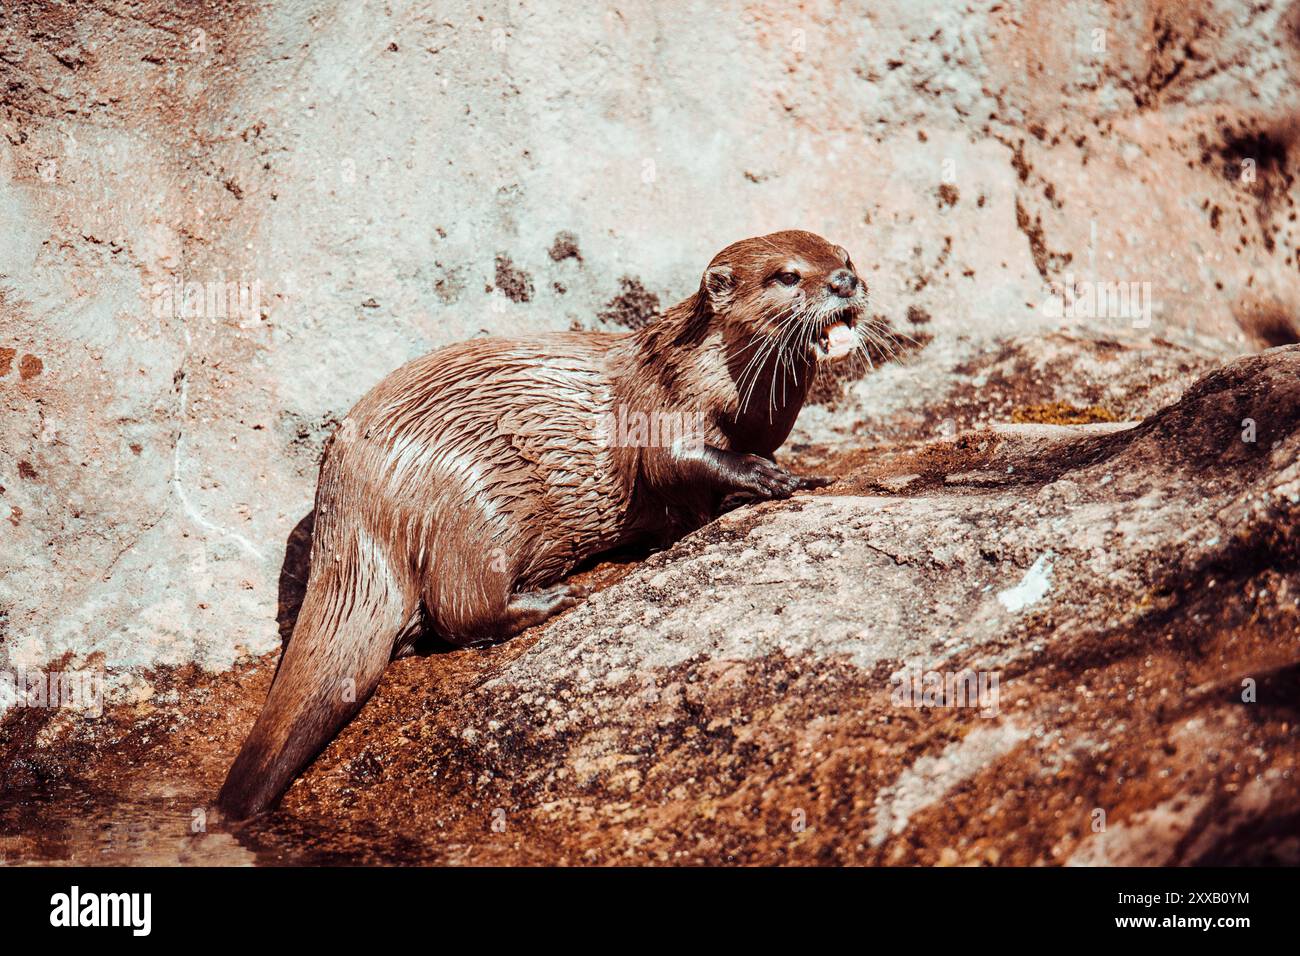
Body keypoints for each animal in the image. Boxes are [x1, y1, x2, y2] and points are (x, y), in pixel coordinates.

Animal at [218, 230, 870, 819]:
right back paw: (550, 599)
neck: (724, 386)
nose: (845, 282)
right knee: (461, 610)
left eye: (846, 256)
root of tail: (356, 504)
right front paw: (770, 478)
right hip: (477, 508)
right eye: (787, 276)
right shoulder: (661, 403)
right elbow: (672, 462)